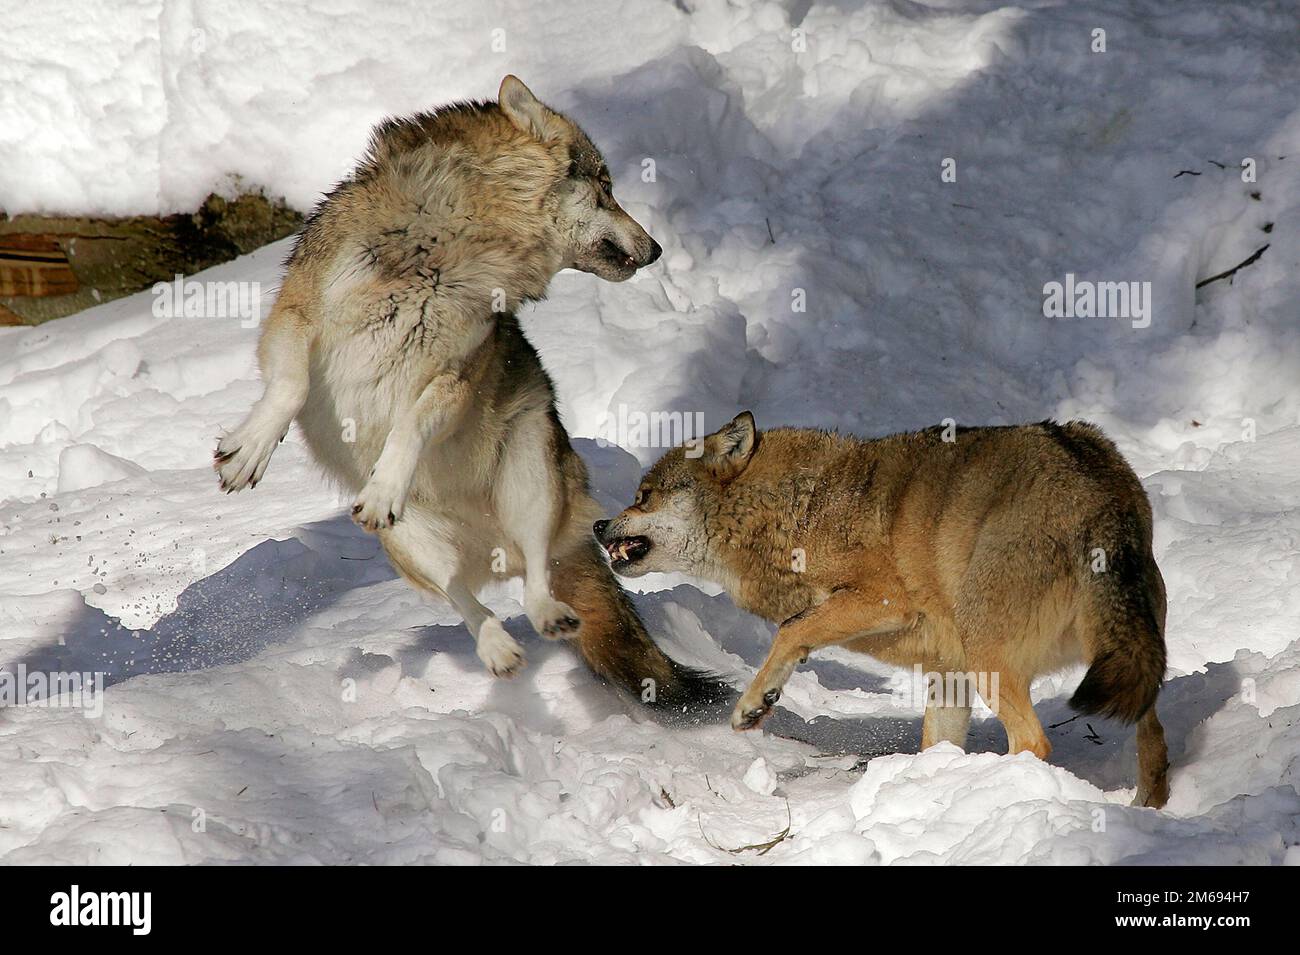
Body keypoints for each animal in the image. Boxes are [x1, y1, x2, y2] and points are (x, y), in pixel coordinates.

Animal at [214, 76, 716, 706]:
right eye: (605, 187)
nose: (654, 249)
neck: (452, 239)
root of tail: (492, 554)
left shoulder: (453, 375)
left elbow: (409, 424)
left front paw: (386, 485)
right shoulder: (295, 316)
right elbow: (288, 386)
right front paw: (247, 453)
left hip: (531, 479)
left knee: (536, 573)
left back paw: (547, 614)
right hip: (408, 546)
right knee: (466, 597)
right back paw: (498, 648)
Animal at [595, 413, 1171, 807]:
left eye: (644, 495)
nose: (599, 526)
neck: (796, 511)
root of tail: (1103, 494)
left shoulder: (883, 599)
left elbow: (790, 631)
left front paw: (755, 706)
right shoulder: (948, 674)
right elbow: (936, 745)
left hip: (990, 656)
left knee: (1034, 741)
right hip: (1130, 667)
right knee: (1154, 739)